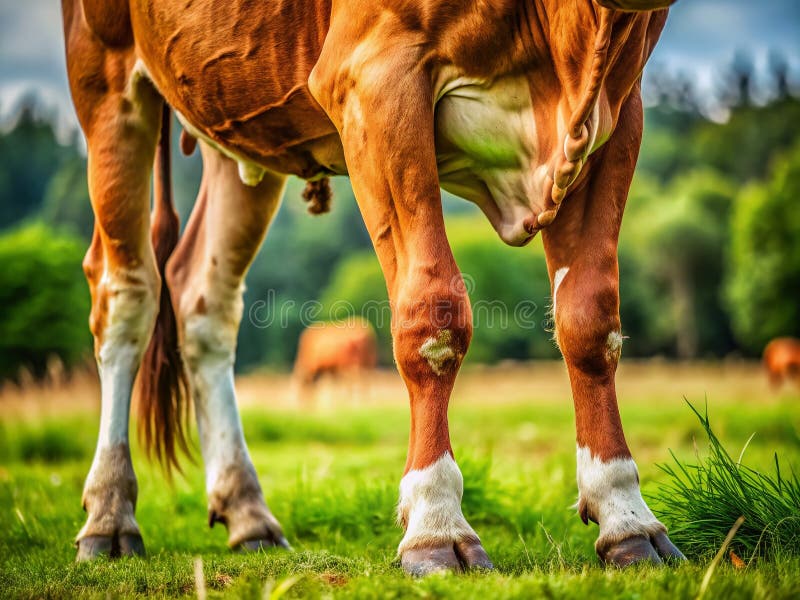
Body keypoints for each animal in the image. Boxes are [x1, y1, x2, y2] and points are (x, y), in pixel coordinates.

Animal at [61, 0, 684, 574]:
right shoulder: (376, 74)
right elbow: (433, 311)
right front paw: (436, 522)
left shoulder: (619, 106)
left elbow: (590, 319)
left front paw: (627, 516)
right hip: (105, 74)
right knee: (125, 294)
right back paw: (110, 513)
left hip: (232, 109)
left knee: (202, 297)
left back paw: (247, 511)